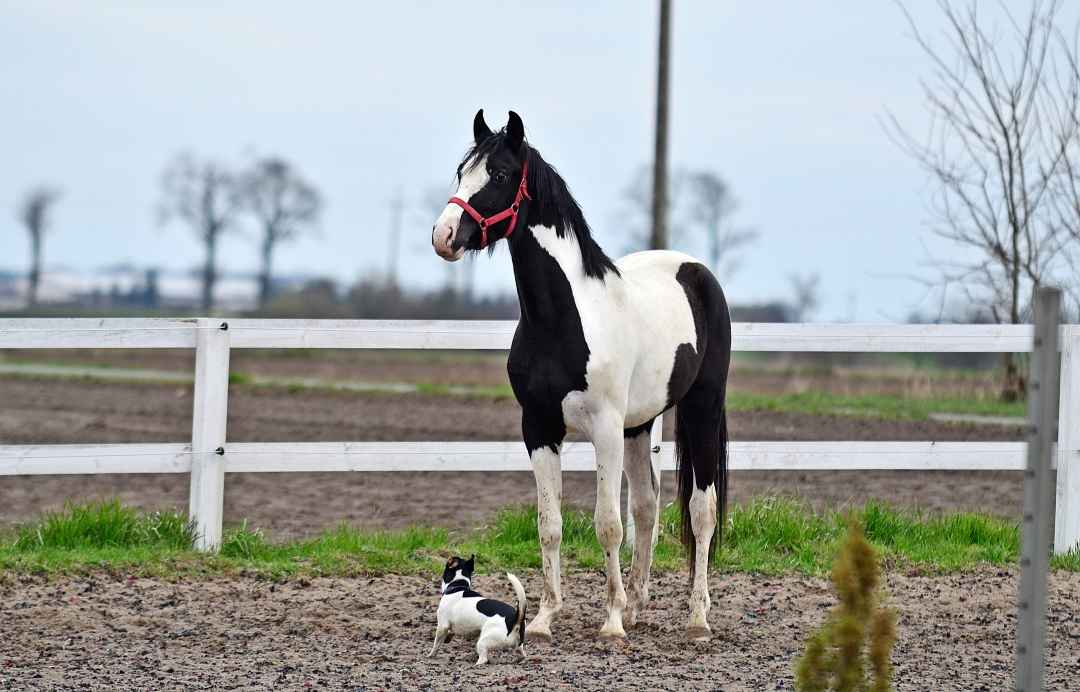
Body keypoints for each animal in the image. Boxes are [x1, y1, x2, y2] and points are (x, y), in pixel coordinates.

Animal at [431, 109, 731, 642]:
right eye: (462, 172)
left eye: (500, 175)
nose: (444, 236)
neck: (562, 319)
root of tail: (697, 271)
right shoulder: (539, 428)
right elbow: (550, 524)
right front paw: (546, 618)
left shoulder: (605, 430)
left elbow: (607, 523)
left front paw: (610, 624)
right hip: (639, 425)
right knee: (647, 507)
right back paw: (637, 606)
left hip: (701, 409)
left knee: (701, 511)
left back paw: (696, 617)